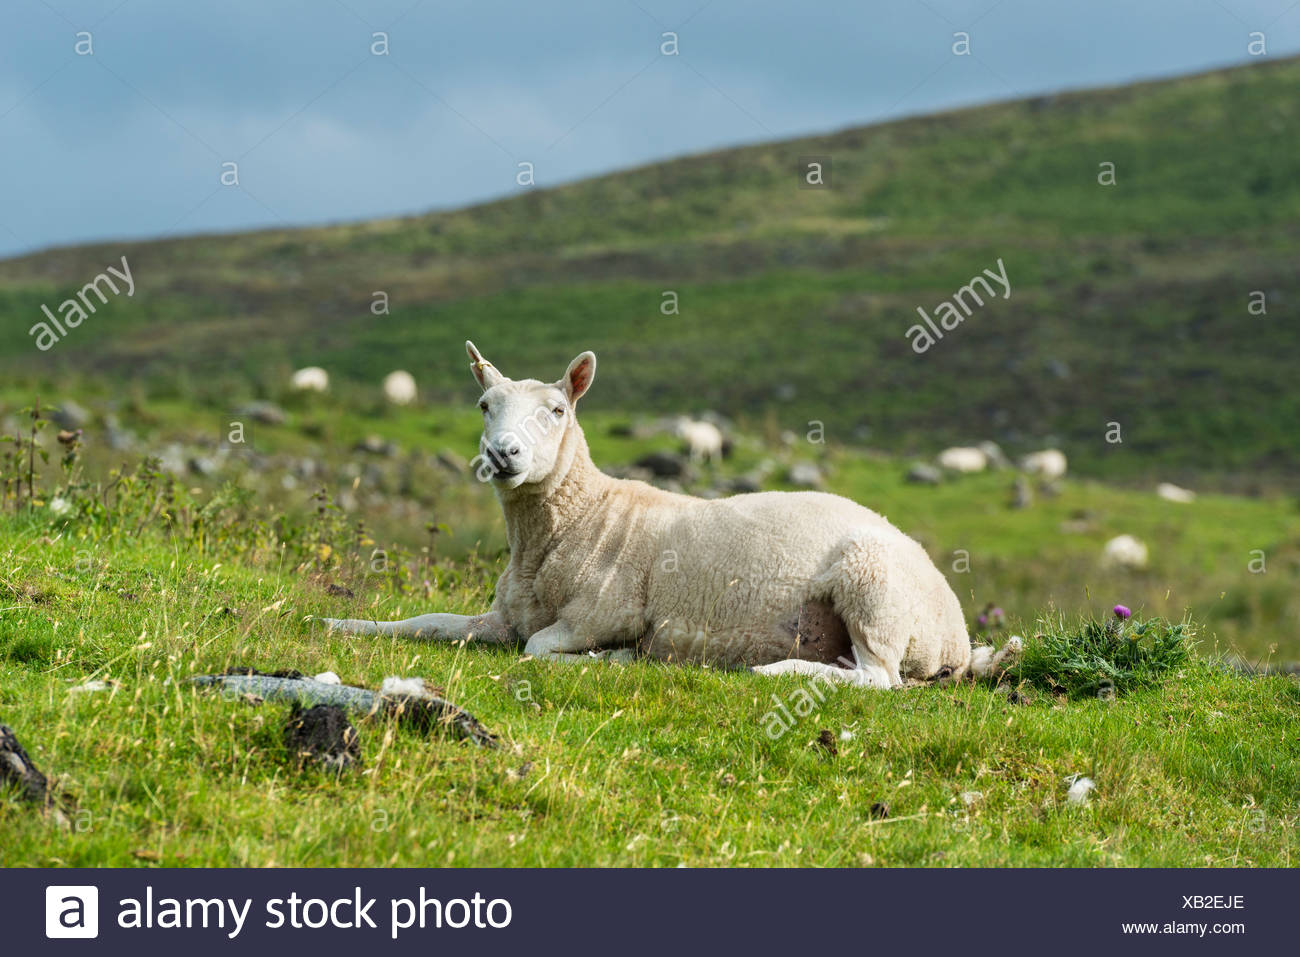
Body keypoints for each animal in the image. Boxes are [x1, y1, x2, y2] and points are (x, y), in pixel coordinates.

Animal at [322, 342, 1014, 690]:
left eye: (557, 411)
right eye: (484, 405)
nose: (503, 454)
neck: (582, 517)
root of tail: (957, 634)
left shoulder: (604, 613)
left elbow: (539, 650)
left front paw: (618, 661)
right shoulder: (502, 617)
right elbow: (428, 622)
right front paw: (341, 623)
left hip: (874, 589)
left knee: (879, 679)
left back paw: (773, 669)